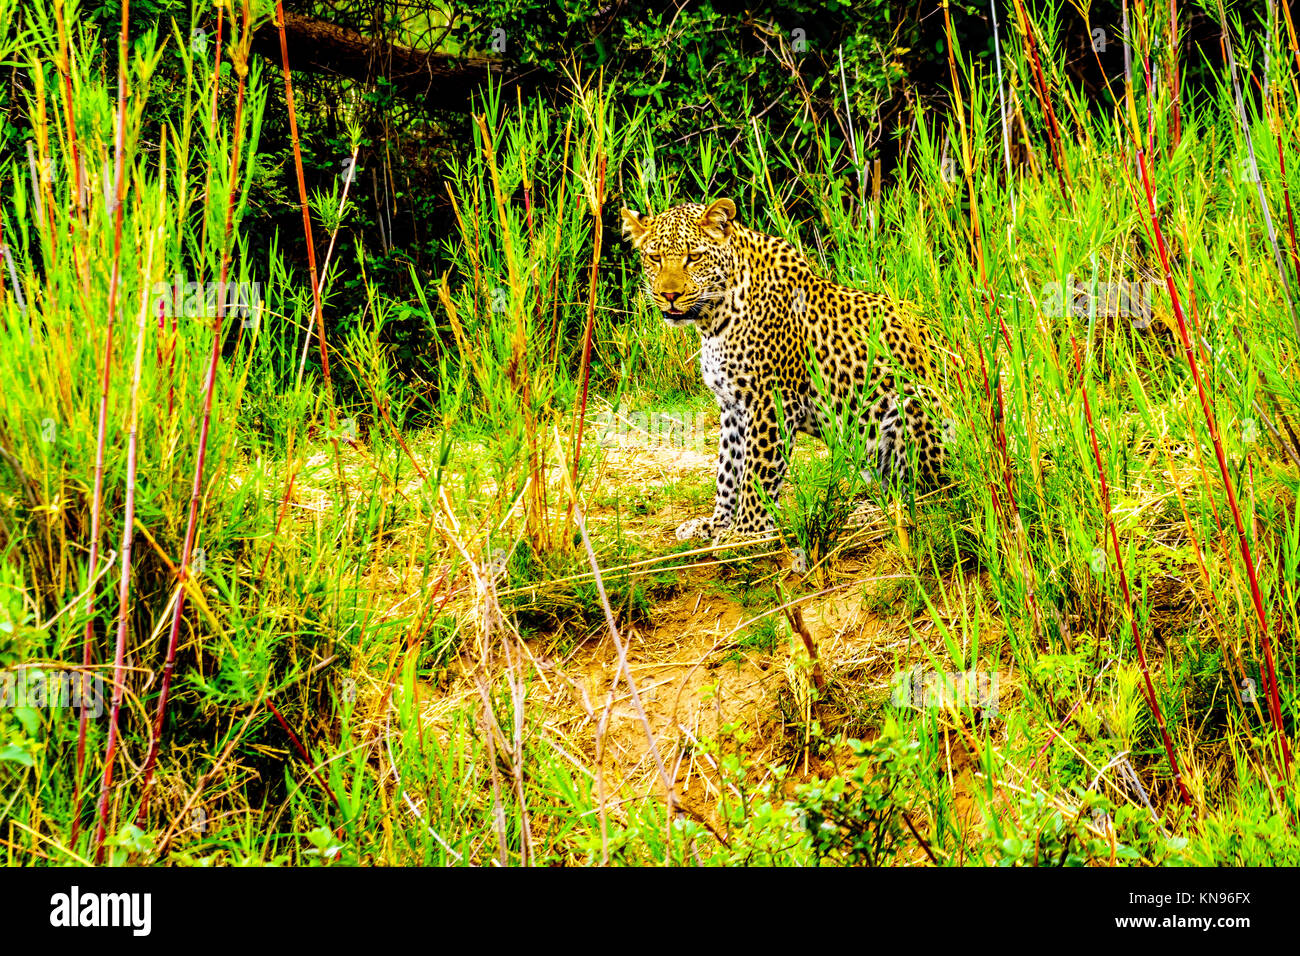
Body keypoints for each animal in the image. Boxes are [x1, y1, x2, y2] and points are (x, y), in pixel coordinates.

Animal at [620, 197, 946, 543]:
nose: (669, 296)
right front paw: (716, 524)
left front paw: (746, 532)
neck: (713, 319)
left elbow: (757, 469)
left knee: (930, 493)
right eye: (654, 258)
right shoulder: (732, 405)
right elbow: (728, 468)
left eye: (694, 257)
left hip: (911, 400)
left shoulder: (771, 399)